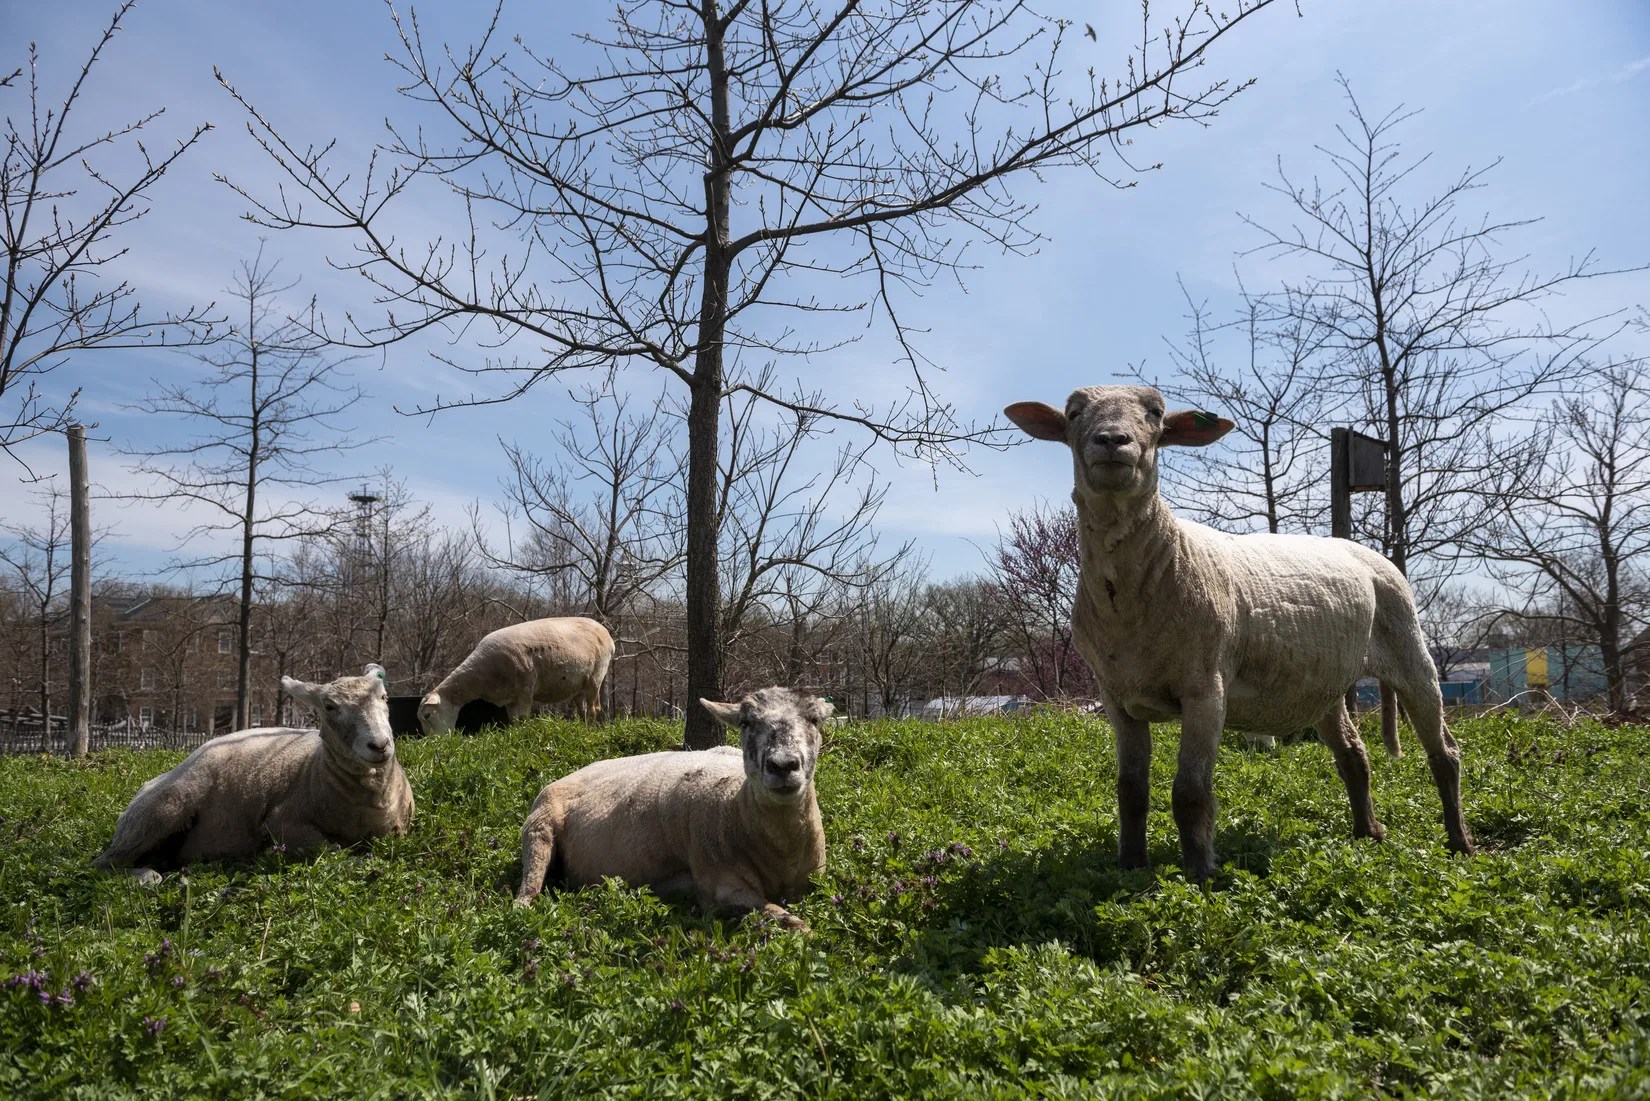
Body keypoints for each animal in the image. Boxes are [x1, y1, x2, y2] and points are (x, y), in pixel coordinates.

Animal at [94, 664, 414, 885]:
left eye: (384, 697)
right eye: (329, 706)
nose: (379, 745)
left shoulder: (398, 829)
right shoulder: (282, 820)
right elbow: (329, 848)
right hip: (163, 807)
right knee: (102, 864)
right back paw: (147, 876)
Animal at [419, 617, 614, 735]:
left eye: (427, 716)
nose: (434, 743)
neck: (480, 677)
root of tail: (607, 635)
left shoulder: (525, 688)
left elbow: (522, 718)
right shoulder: (510, 698)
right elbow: (514, 721)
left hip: (596, 677)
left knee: (593, 708)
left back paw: (590, 730)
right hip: (579, 685)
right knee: (582, 709)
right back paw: (582, 729)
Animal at [514, 686, 831, 930]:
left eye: (815, 719)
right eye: (745, 722)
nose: (783, 766)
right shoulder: (720, 886)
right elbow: (795, 923)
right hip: (539, 827)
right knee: (528, 888)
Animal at [1004, 384, 1473, 881]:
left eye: (1155, 414)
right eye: (1074, 413)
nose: (1112, 441)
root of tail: (1363, 551)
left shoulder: (1205, 688)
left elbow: (1190, 792)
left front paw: (1201, 875)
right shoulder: (1116, 697)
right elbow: (1130, 789)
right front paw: (1130, 866)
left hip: (1408, 646)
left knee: (1444, 754)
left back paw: (1459, 843)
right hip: (1322, 683)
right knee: (1353, 755)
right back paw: (1369, 832)